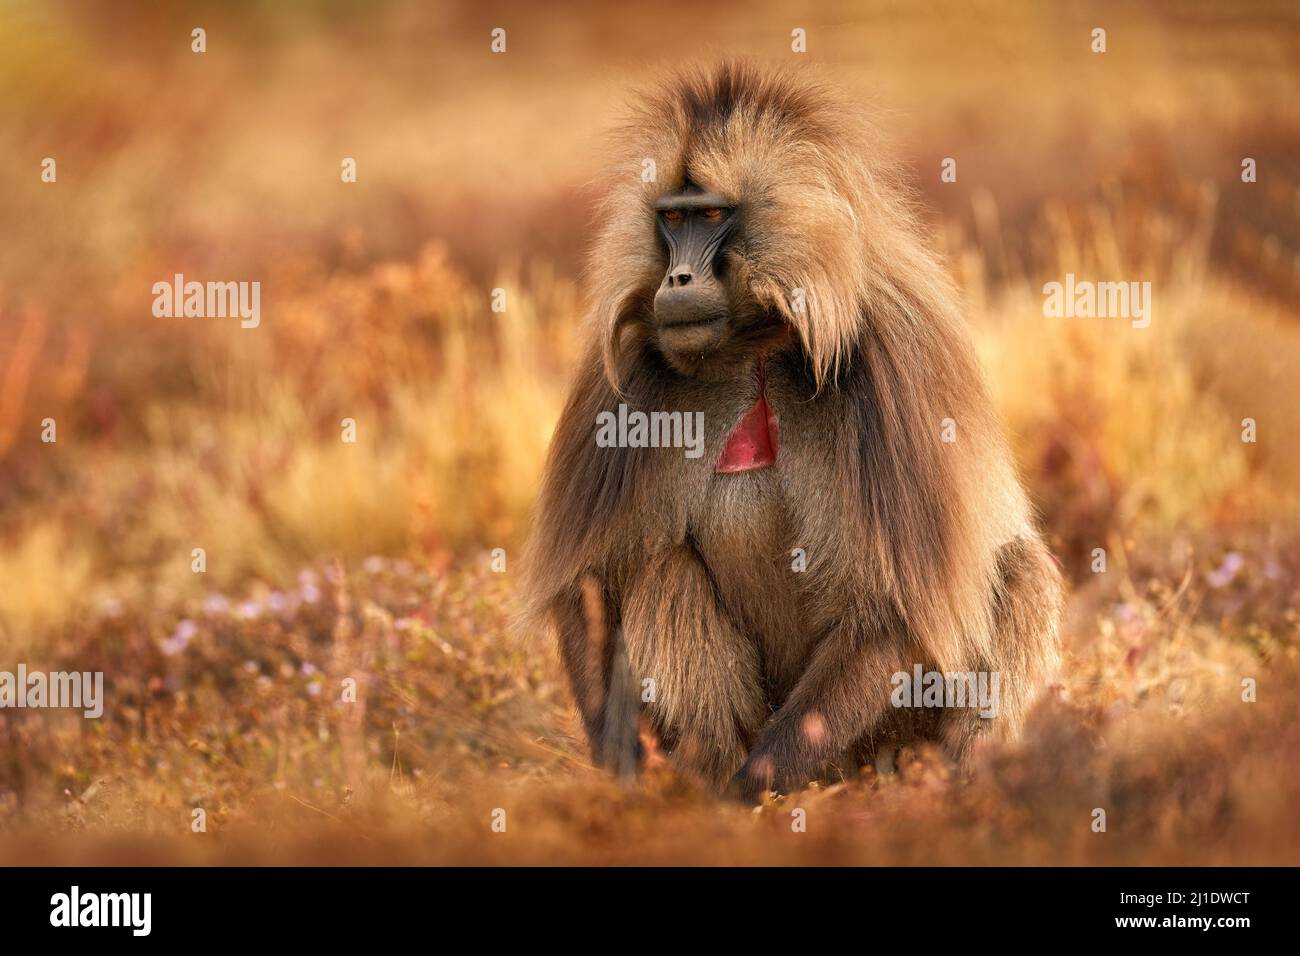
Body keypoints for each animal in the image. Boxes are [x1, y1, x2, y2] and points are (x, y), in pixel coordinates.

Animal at [523, 61, 1063, 803]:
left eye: (712, 215)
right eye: (671, 218)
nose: (676, 278)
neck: (759, 340)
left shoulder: (894, 366)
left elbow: (893, 608)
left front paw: (748, 787)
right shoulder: (625, 376)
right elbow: (591, 581)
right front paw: (626, 774)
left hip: (878, 741)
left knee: (1018, 570)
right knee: (663, 571)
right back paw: (703, 769)